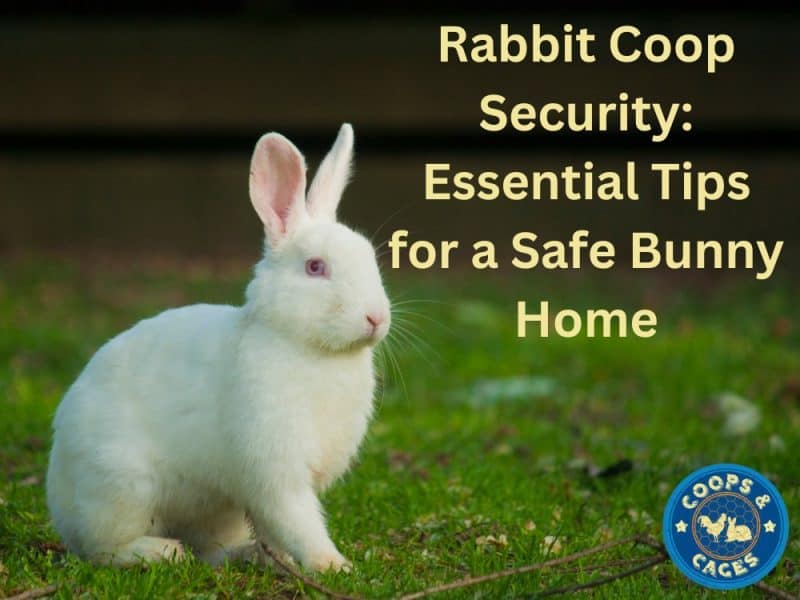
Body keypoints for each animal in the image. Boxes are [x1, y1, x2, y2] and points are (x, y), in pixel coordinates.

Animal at [46, 123, 391, 572]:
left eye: (369, 258)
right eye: (315, 267)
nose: (376, 318)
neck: (309, 347)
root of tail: (58, 495)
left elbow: (276, 528)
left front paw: (285, 561)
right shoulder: (275, 471)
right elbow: (297, 520)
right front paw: (332, 565)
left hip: (214, 510)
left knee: (209, 548)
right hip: (122, 486)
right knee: (102, 548)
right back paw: (161, 551)